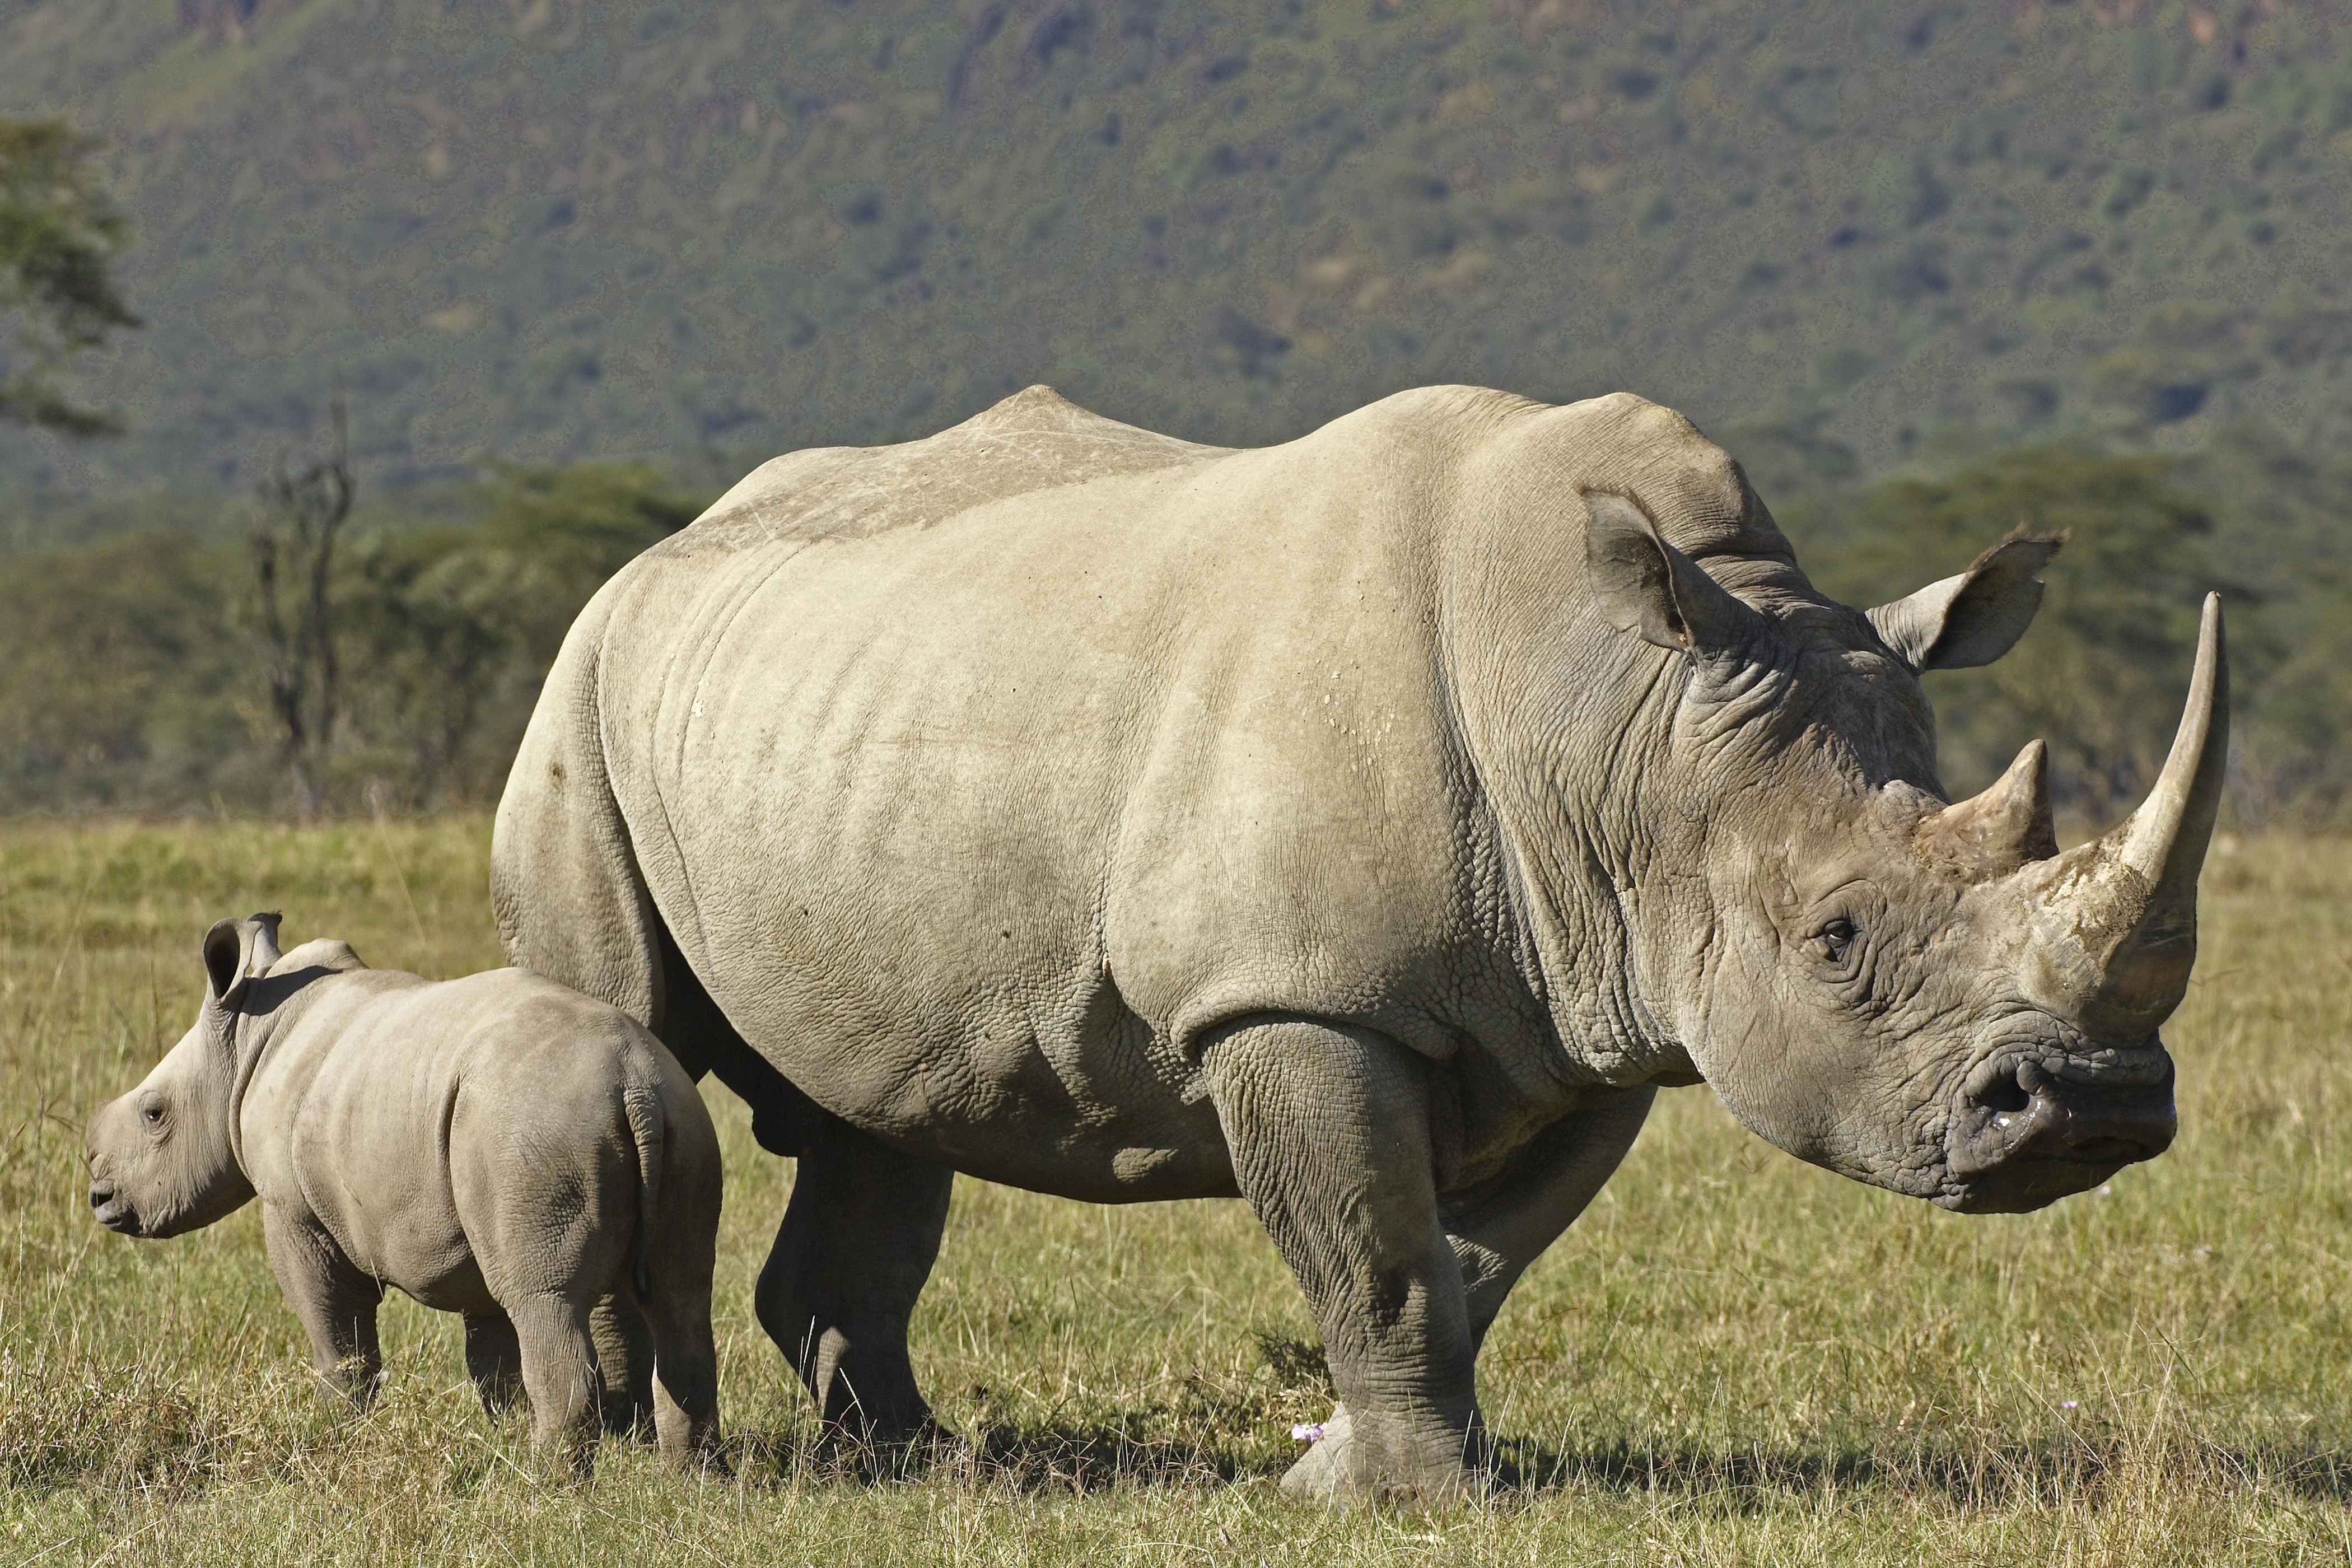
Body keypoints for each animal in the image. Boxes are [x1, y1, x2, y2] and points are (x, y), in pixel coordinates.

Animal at [84, 914, 724, 1473]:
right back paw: (690, 1483)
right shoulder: (472, 1216)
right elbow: (491, 1354)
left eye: (154, 1114)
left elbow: (337, 1331)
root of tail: (632, 1083)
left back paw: (550, 1488)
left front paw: (339, 1433)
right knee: (682, 1294)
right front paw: (503, 1440)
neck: (245, 1042)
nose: (99, 1198)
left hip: (537, 1128)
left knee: (544, 1298)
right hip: (675, 1121)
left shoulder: (295, 1211)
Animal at [490, 385, 2226, 1498]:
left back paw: (921, 1461)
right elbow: (1375, 1245)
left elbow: (1472, 1254)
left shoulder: (1596, 1006)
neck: (1618, 723)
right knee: (615, 1033)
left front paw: (1347, 1459)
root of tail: (668, 545)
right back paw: (623, 1452)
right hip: (580, 697)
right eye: (1839, 938)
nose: (2092, 1109)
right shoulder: (1296, 1000)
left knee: (887, 1109)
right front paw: (1403, 1503)